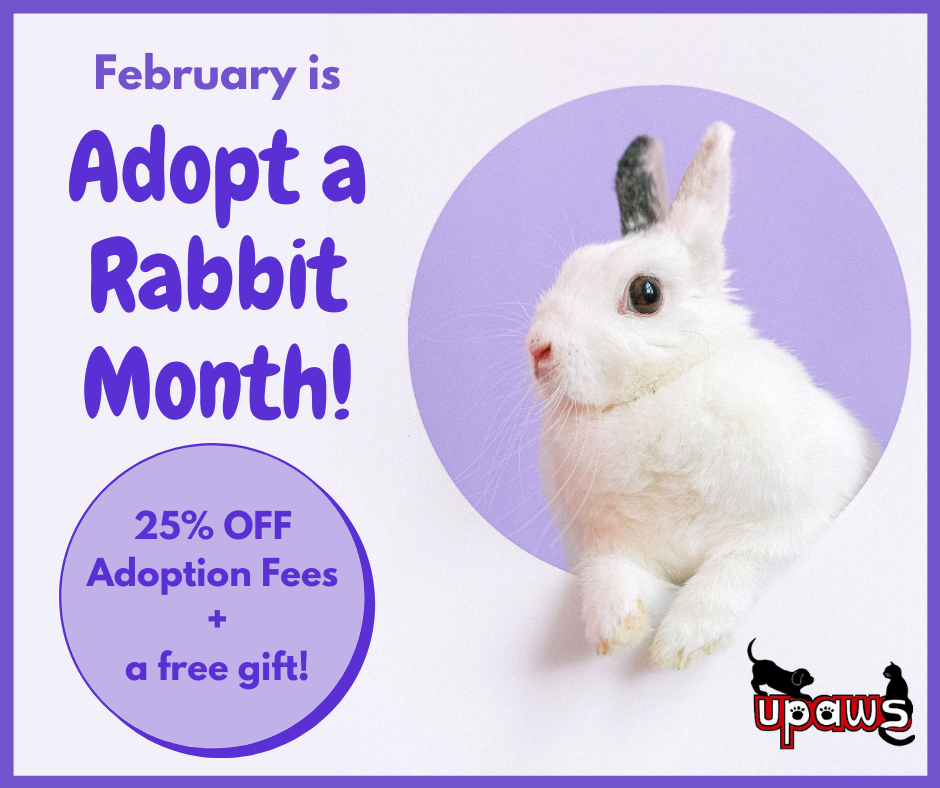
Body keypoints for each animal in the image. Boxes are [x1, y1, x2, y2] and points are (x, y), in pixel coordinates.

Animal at [525, 122, 880, 669]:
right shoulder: (606, 546)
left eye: (646, 293)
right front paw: (614, 631)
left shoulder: (787, 525)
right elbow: (611, 575)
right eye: (571, 267)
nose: (537, 348)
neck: (658, 392)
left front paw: (680, 643)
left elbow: (730, 571)